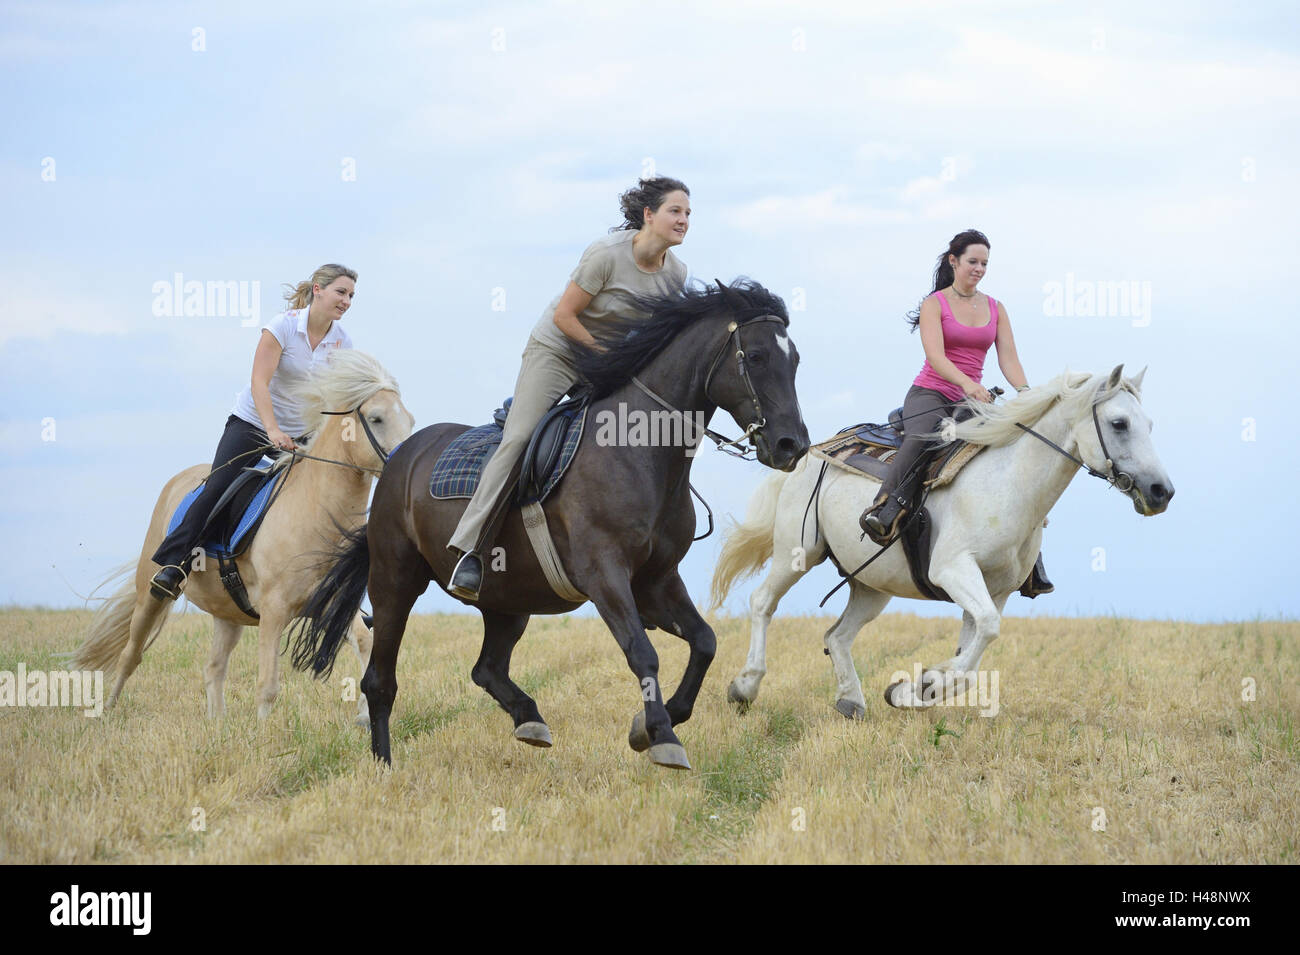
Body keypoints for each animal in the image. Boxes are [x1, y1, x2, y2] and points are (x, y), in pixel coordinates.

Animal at [71, 350, 414, 721]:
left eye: (410, 421)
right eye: (377, 418)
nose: (404, 467)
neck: (312, 511)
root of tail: (179, 481)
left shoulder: (334, 604)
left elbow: (366, 645)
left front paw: (365, 716)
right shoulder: (274, 610)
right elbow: (268, 684)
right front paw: (263, 733)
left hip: (227, 613)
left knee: (213, 667)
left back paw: (218, 724)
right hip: (151, 591)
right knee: (131, 653)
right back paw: (107, 710)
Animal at [288, 279, 810, 770]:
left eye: (796, 360)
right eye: (757, 356)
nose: (792, 445)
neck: (639, 451)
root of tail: (401, 455)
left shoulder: (657, 582)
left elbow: (704, 641)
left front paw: (649, 726)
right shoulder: (605, 575)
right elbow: (643, 651)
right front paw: (662, 736)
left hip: (508, 600)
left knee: (486, 669)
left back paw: (530, 719)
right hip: (395, 580)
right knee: (381, 680)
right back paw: (385, 767)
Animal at [710, 365, 1174, 716]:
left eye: (1150, 425)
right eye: (1119, 423)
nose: (1161, 492)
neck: (1009, 482)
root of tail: (812, 452)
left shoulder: (995, 591)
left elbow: (973, 654)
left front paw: (915, 689)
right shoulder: (953, 570)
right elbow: (984, 635)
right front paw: (924, 682)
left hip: (871, 585)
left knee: (837, 636)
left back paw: (851, 700)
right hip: (798, 553)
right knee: (762, 603)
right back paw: (745, 687)